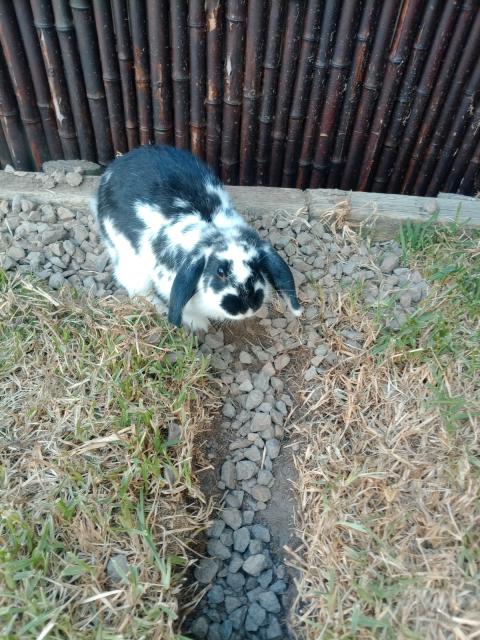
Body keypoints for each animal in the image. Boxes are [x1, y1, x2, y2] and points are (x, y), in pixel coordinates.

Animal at [91, 145, 301, 332]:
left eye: (257, 268)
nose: (247, 305)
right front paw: (199, 325)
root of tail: (117, 164)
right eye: (220, 272)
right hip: (128, 258)